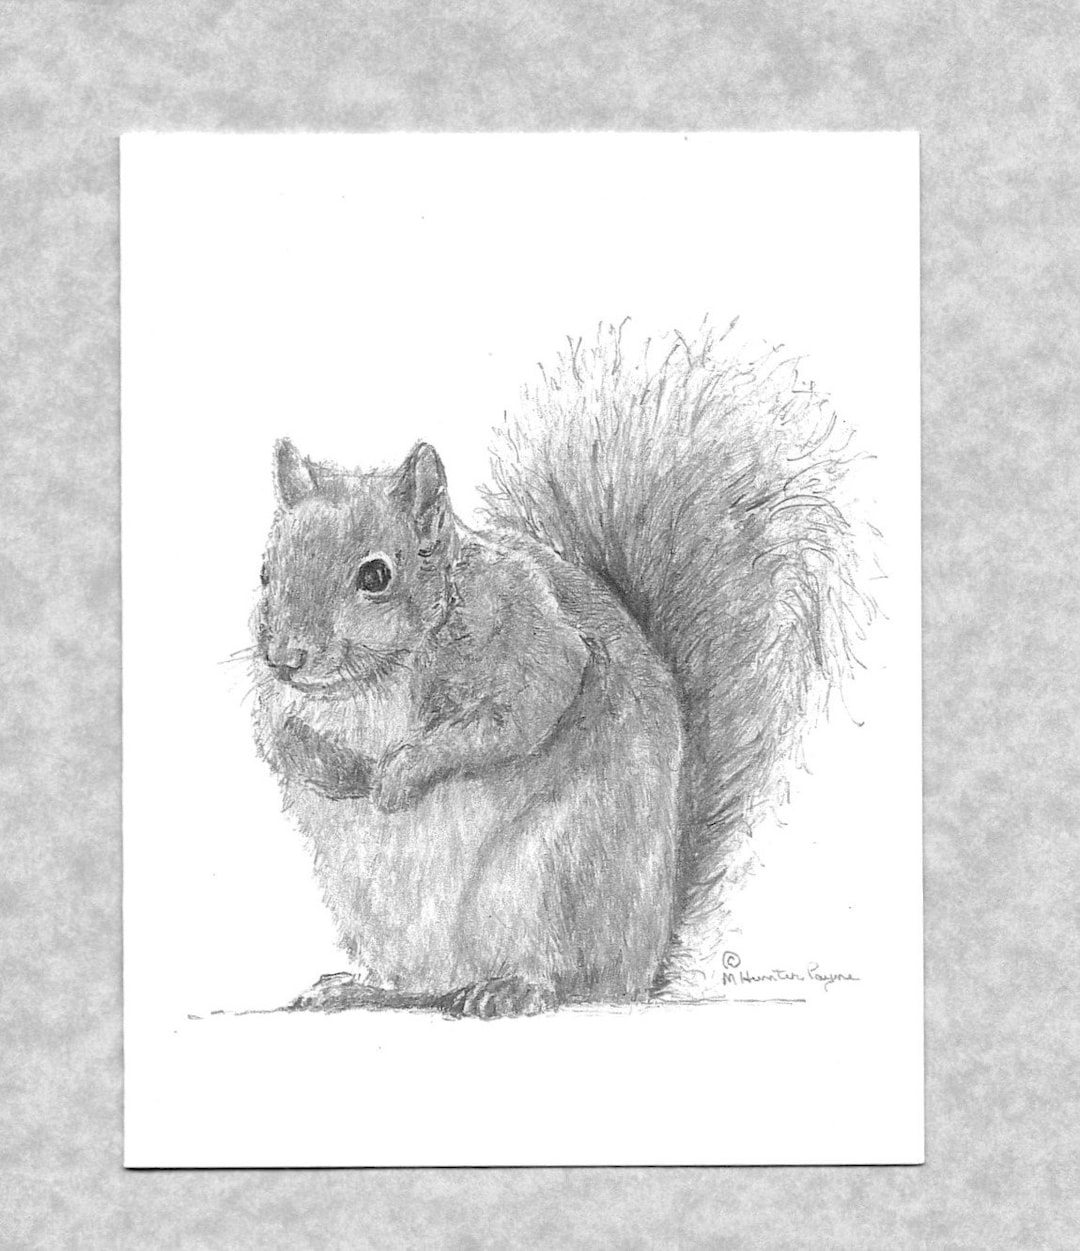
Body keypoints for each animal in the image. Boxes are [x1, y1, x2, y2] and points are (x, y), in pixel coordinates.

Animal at [250, 321, 871, 1019]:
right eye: (266, 571)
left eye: (376, 575)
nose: (284, 657)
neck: (372, 683)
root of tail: (645, 963)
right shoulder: (282, 700)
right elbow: (275, 734)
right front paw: (333, 772)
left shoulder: (528, 636)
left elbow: (517, 713)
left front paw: (398, 776)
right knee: (420, 985)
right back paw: (361, 988)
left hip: (556, 875)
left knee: (565, 977)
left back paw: (510, 987)